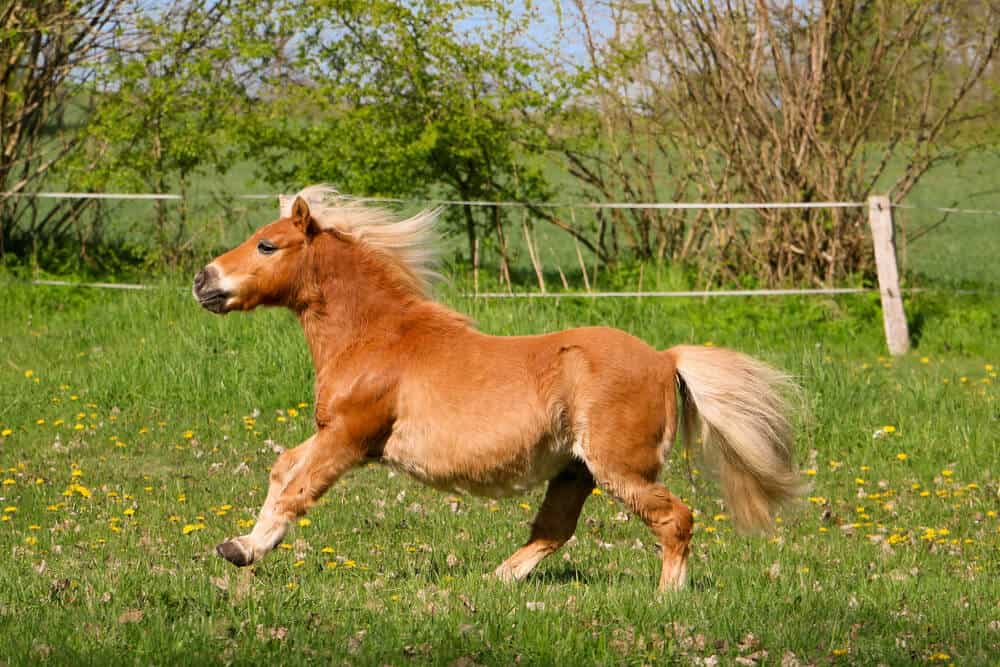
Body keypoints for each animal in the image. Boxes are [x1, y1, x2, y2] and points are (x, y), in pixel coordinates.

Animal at [192, 185, 805, 591]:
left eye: (267, 246)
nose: (202, 281)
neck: (379, 339)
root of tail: (665, 359)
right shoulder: (327, 431)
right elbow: (281, 469)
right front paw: (238, 545)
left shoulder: (348, 437)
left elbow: (297, 491)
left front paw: (243, 550)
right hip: (575, 470)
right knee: (555, 530)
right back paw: (495, 583)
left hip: (620, 468)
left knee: (675, 519)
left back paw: (666, 600)